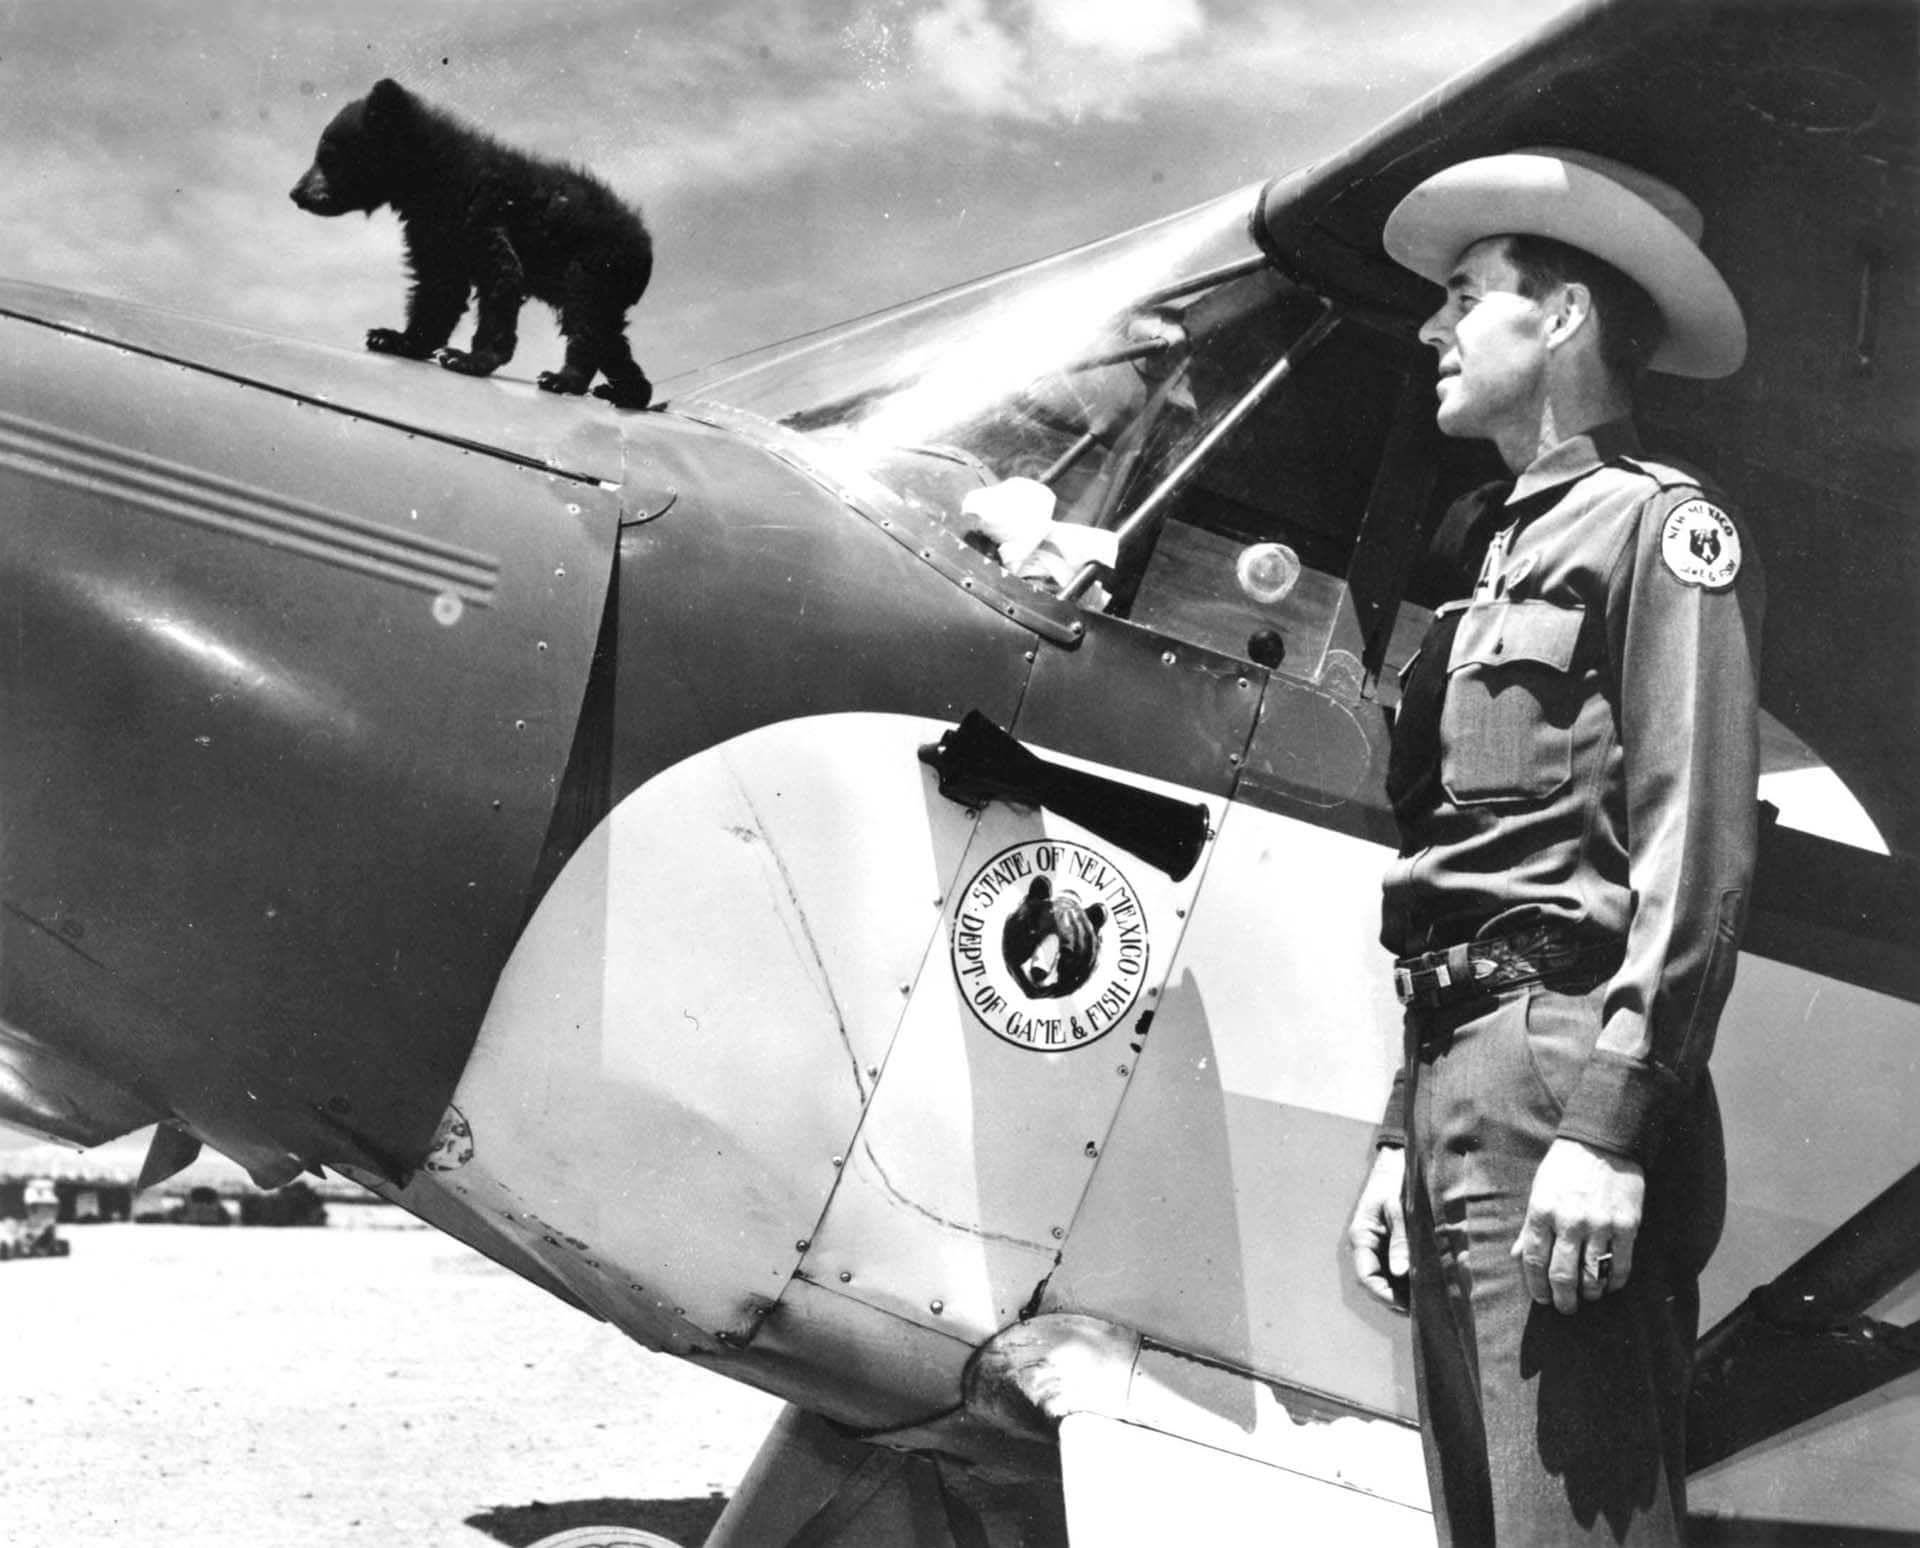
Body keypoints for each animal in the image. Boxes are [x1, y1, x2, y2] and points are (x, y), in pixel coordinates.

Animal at [290, 79, 654, 410]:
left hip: (592, 264)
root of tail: (644, 245)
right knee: (610, 336)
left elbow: (501, 273)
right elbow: (439, 286)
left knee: (585, 321)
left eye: (327, 158)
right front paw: (395, 338)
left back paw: (564, 379)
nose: (296, 193)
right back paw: (628, 392)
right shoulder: (431, 229)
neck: (430, 177)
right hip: (607, 287)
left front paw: (469, 358)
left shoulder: (478, 208)